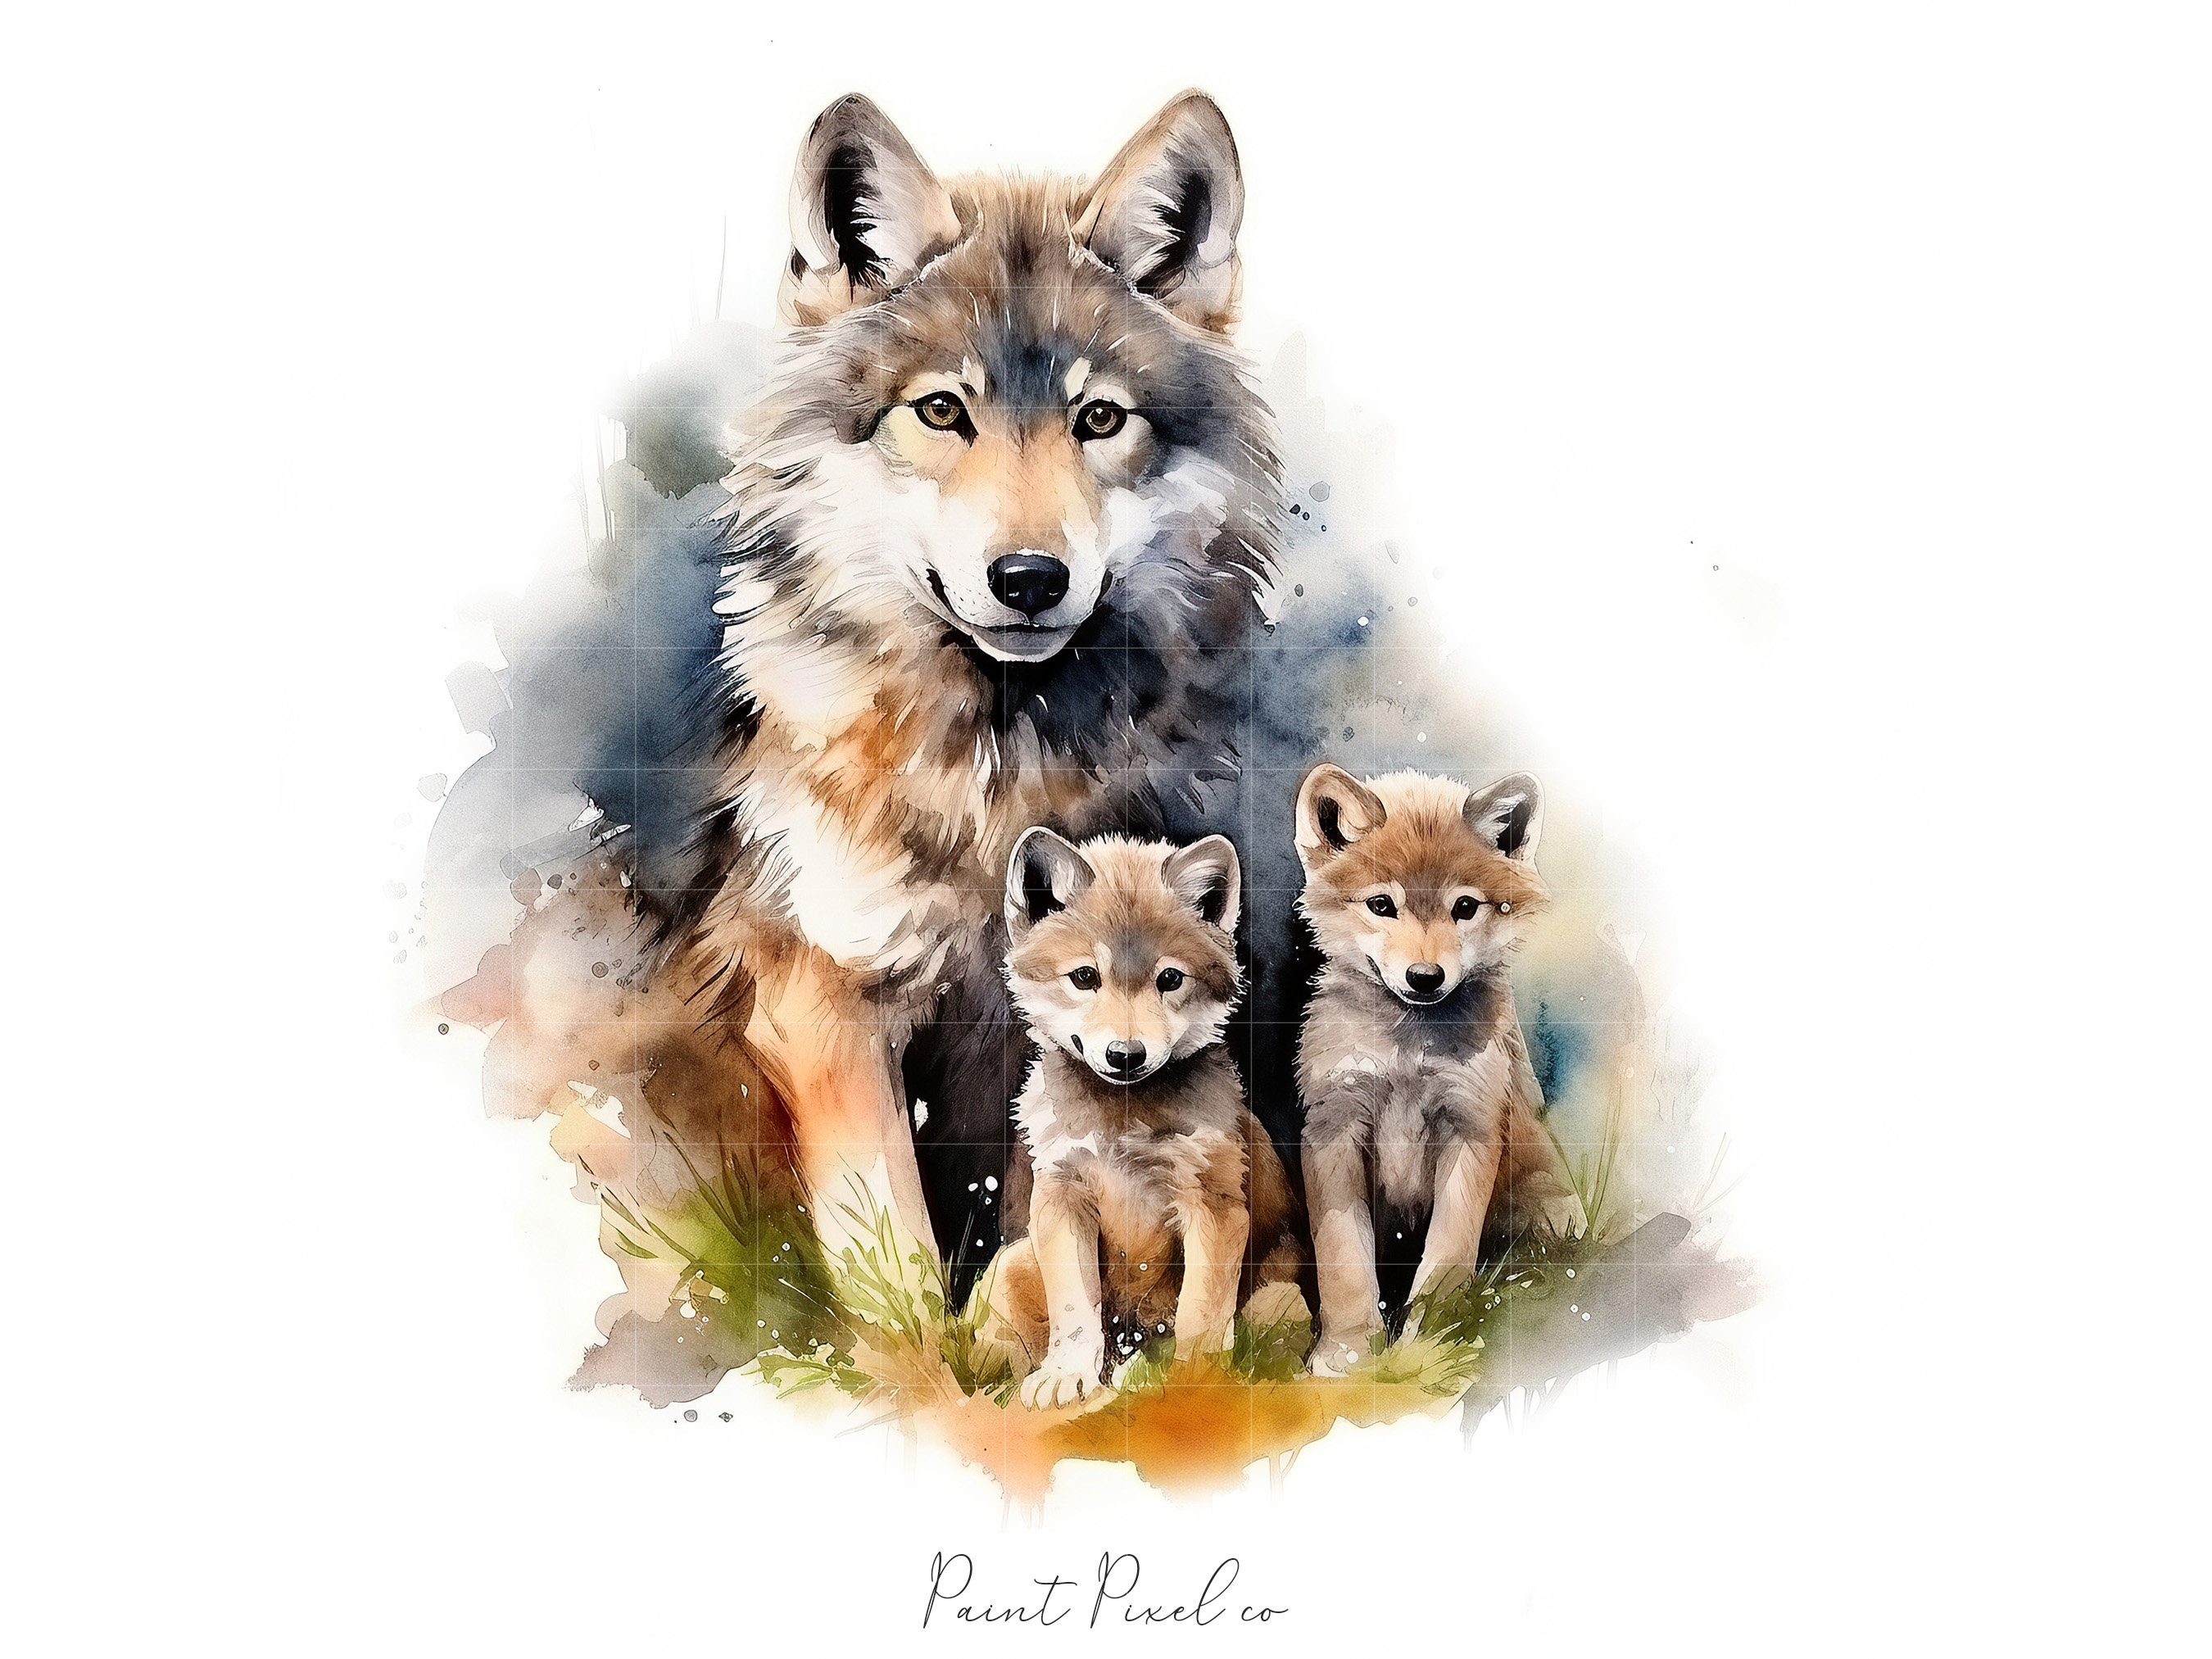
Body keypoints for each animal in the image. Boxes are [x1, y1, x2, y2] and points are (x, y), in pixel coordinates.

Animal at [639, 91, 1283, 1287]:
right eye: (941, 413)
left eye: (1099, 420)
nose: (1029, 580)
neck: (994, 774)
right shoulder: (825, 1004)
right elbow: (894, 1269)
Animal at [970, 828, 1307, 1406]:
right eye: (1085, 977)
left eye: (1170, 978)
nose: (1125, 1055)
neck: (1122, 1128)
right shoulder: (1060, 1198)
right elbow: (1076, 1310)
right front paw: (1065, 1377)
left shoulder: (1214, 1209)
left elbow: (1201, 1317)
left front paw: (1193, 1386)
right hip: (1013, 1263)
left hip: (1279, 1300)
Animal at [1292, 764, 1577, 1373]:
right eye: (1381, 905)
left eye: (1464, 908)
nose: (1425, 977)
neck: (1409, 1049)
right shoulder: (1334, 1128)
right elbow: (1344, 1264)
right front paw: (1347, 1354)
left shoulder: (1471, 1129)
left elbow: (1447, 1259)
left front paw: (1428, 1351)